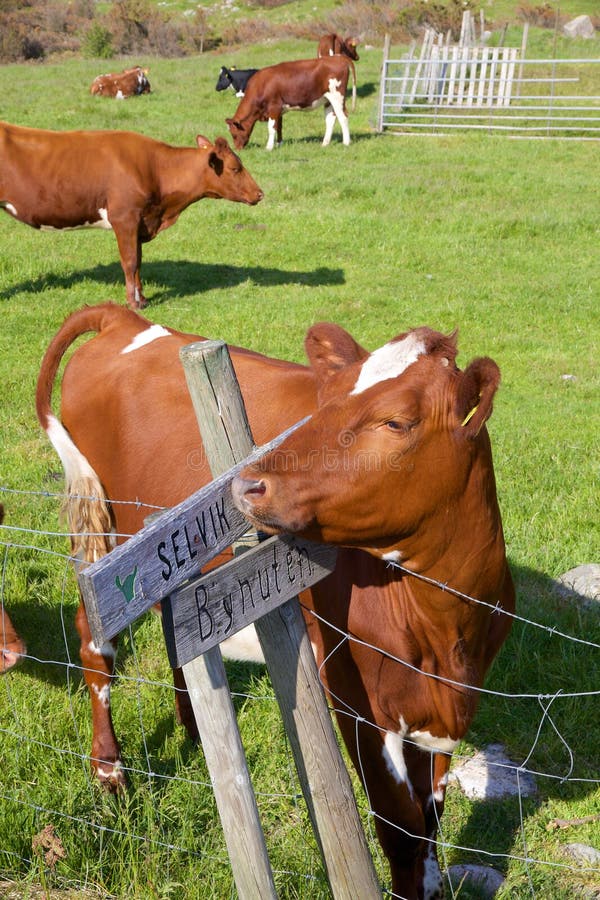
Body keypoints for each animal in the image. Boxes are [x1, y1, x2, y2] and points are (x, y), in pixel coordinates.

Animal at [0, 122, 263, 309]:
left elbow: (139, 261)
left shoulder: (140, 222)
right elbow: (130, 261)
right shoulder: (124, 218)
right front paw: (133, 303)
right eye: (235, 168)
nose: (260, 193)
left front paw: (143, 298)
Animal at [36, 303, 514, 898]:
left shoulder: (444, 712)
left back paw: (194, 732)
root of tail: (123, 321)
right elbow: (401, 834)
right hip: (103, 533)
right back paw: (109, 770)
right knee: (95, 642)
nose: (248, 484)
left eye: (396, 422)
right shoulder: (358, 700)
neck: (448, 626)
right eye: (324, 403)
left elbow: (429, 826)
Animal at [225, 56, 356, 151]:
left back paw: (346, 142)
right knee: (330, 119)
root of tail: (338, 58)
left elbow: (271, 128)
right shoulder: (279, 110)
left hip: (337, 96)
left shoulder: (273, 107)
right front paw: (279, 144)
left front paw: (269, 147)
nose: (237, 149)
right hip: (327, 100)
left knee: (343, 117)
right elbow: (279, 127)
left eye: (233, 134)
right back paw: (325, 143)